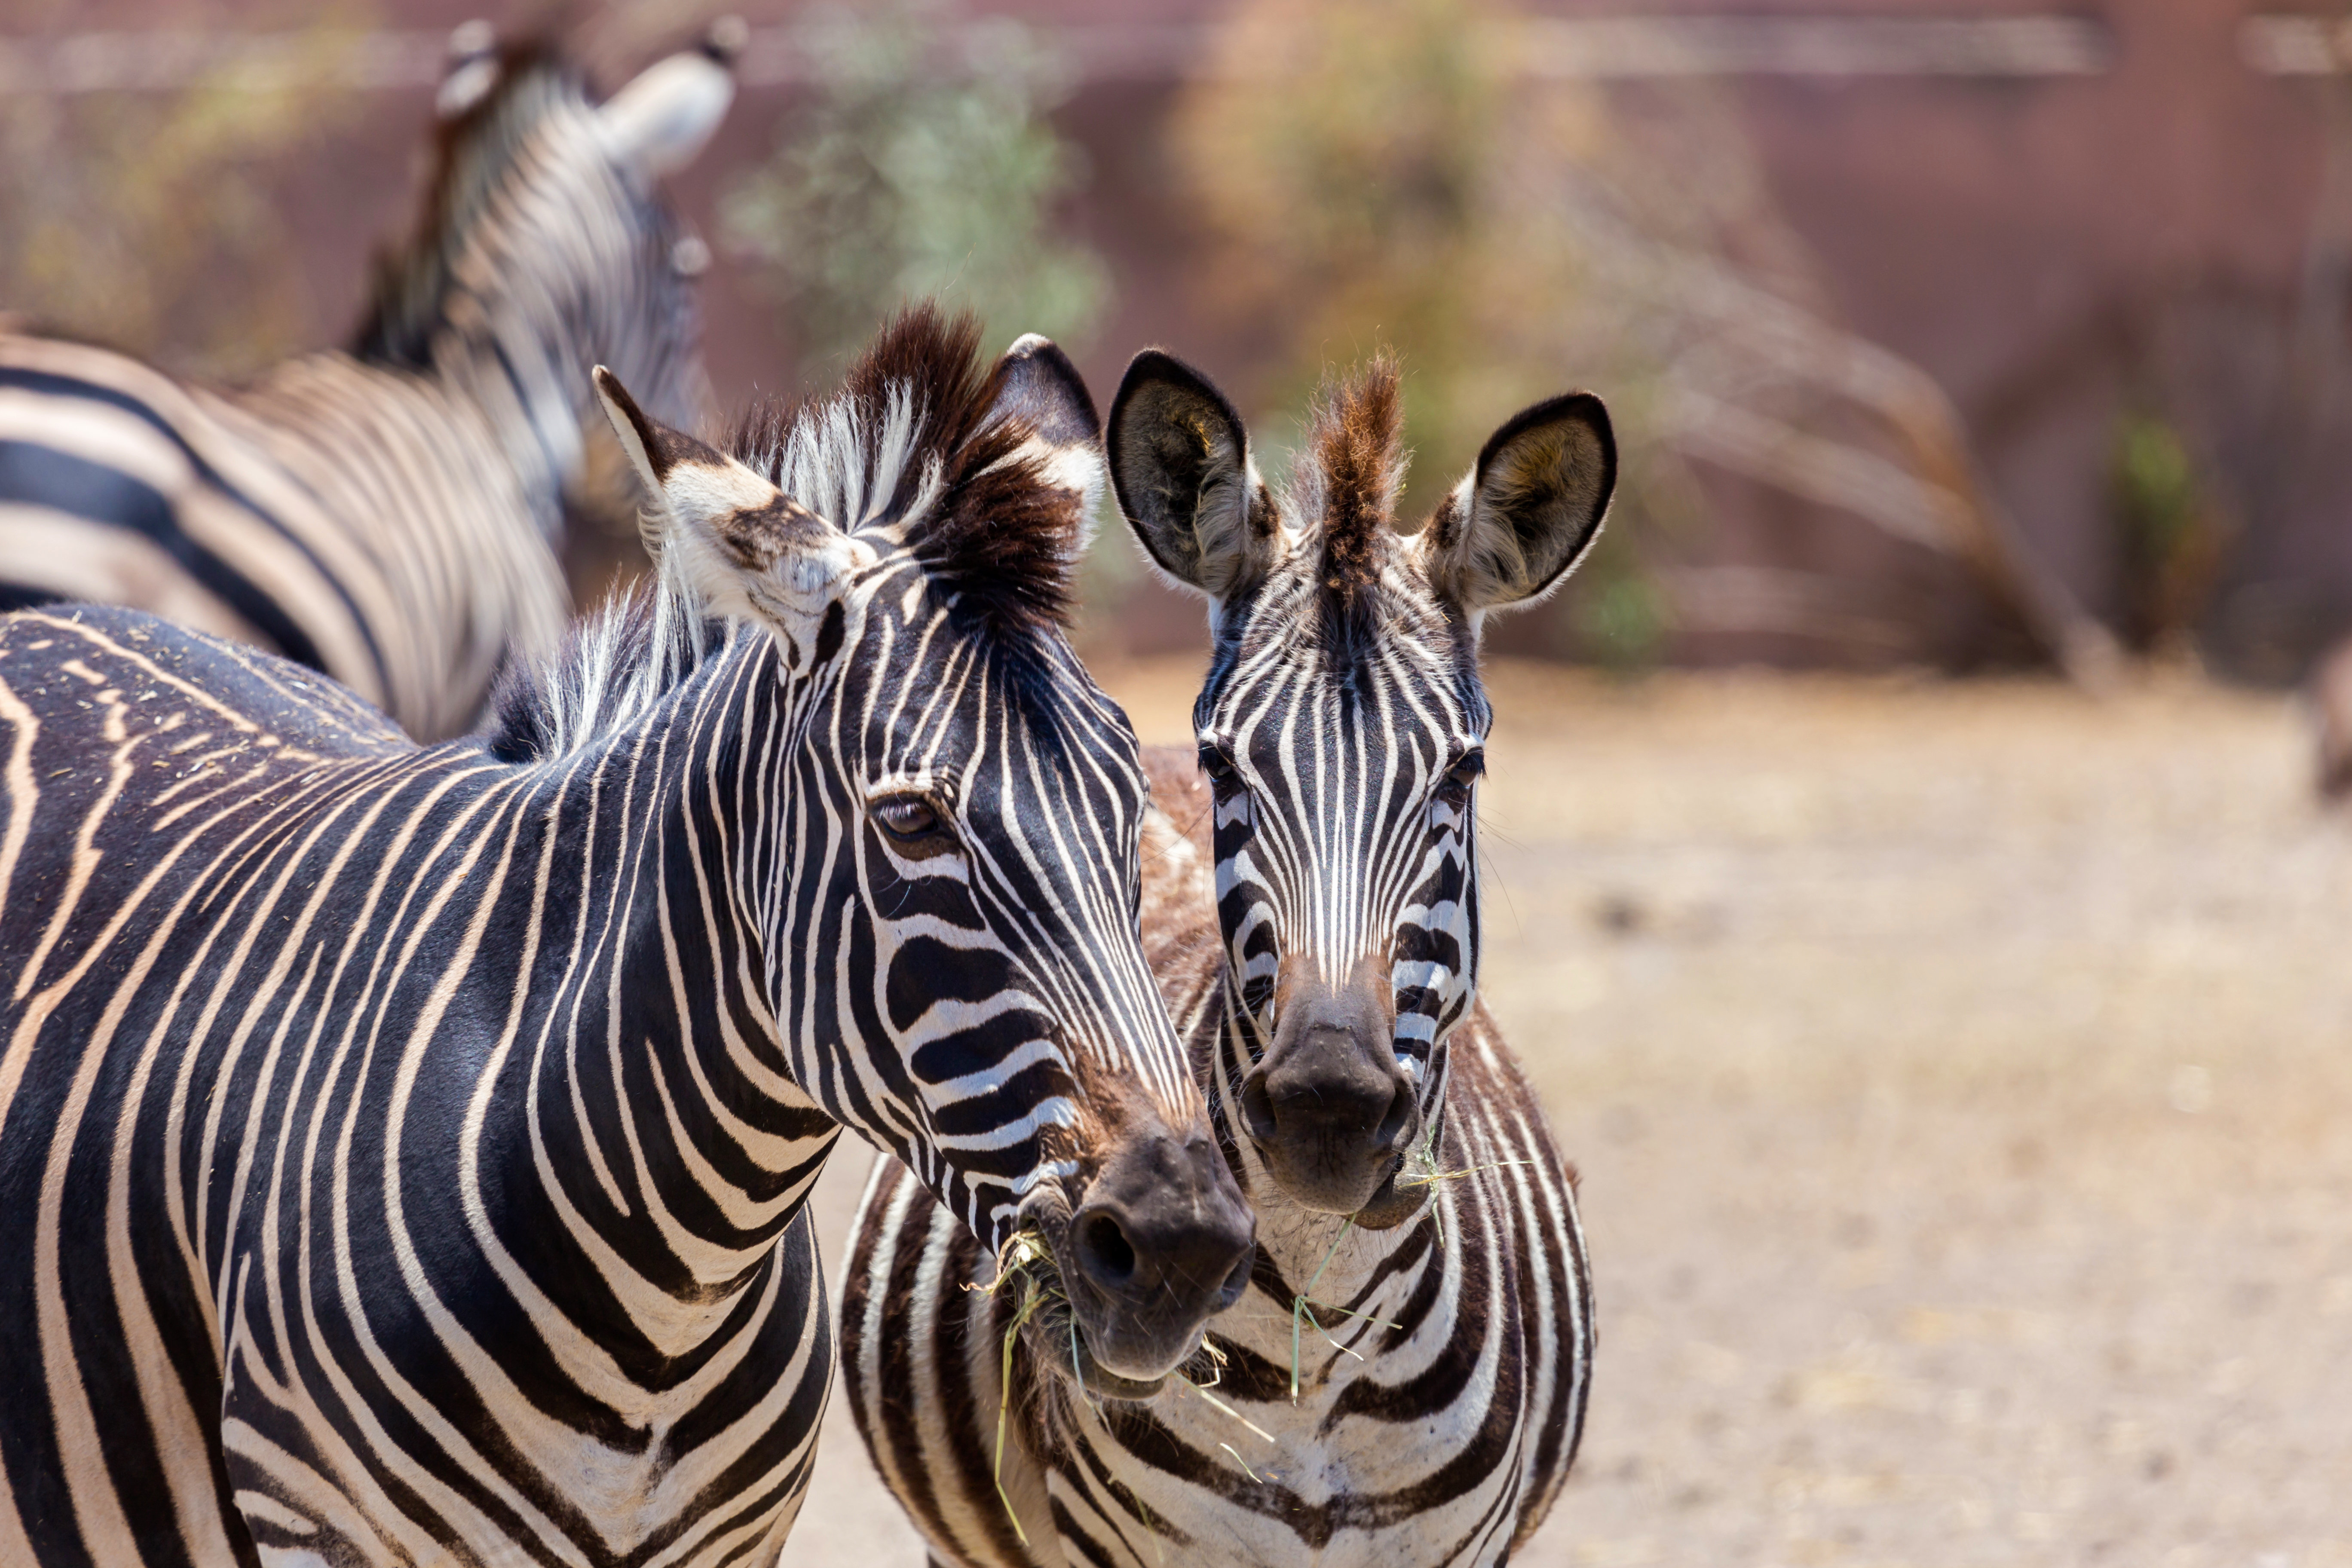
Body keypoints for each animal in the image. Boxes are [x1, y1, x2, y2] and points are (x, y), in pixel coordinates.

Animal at [0, 308, 1255, 1568]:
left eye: (1130, 810)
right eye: (909, 819)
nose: (1182, 1248)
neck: (665, 1304)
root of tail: (54, 623)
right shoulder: (316, 1524)